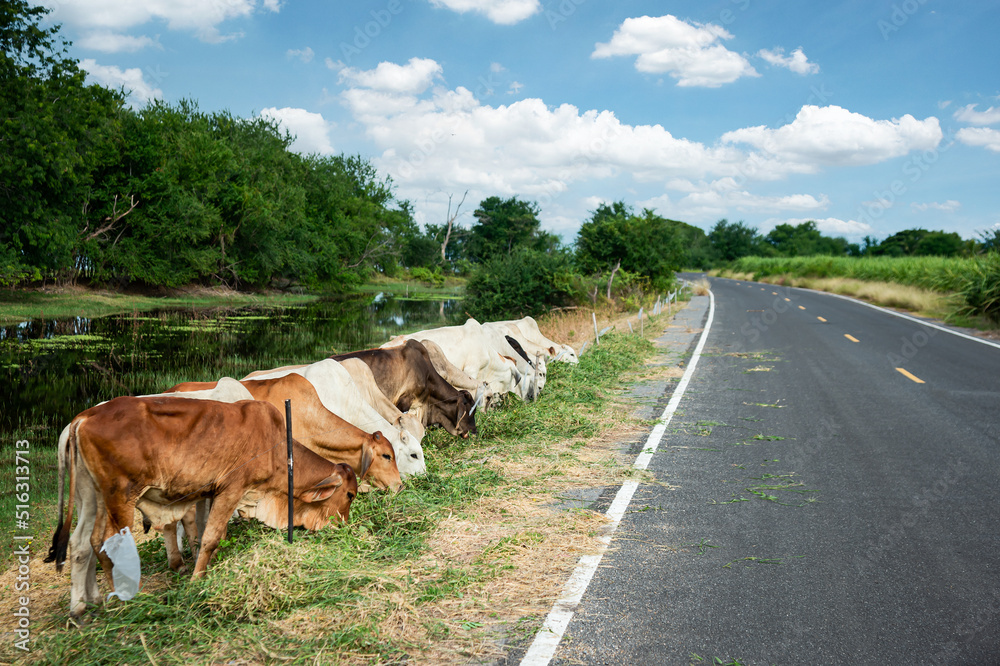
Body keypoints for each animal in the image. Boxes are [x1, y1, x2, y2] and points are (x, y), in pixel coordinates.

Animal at [47, 396, 357, 618]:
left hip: (96, 497)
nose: (344, 526)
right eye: (350, 495)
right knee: (109, 543)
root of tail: (84, 417)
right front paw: (198, 581)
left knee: (89, 543)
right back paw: (127, 598)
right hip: (122, 496)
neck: (280, 450)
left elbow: (202, 534)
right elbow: (209, 537)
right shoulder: (232, 488)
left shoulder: (210, 493)